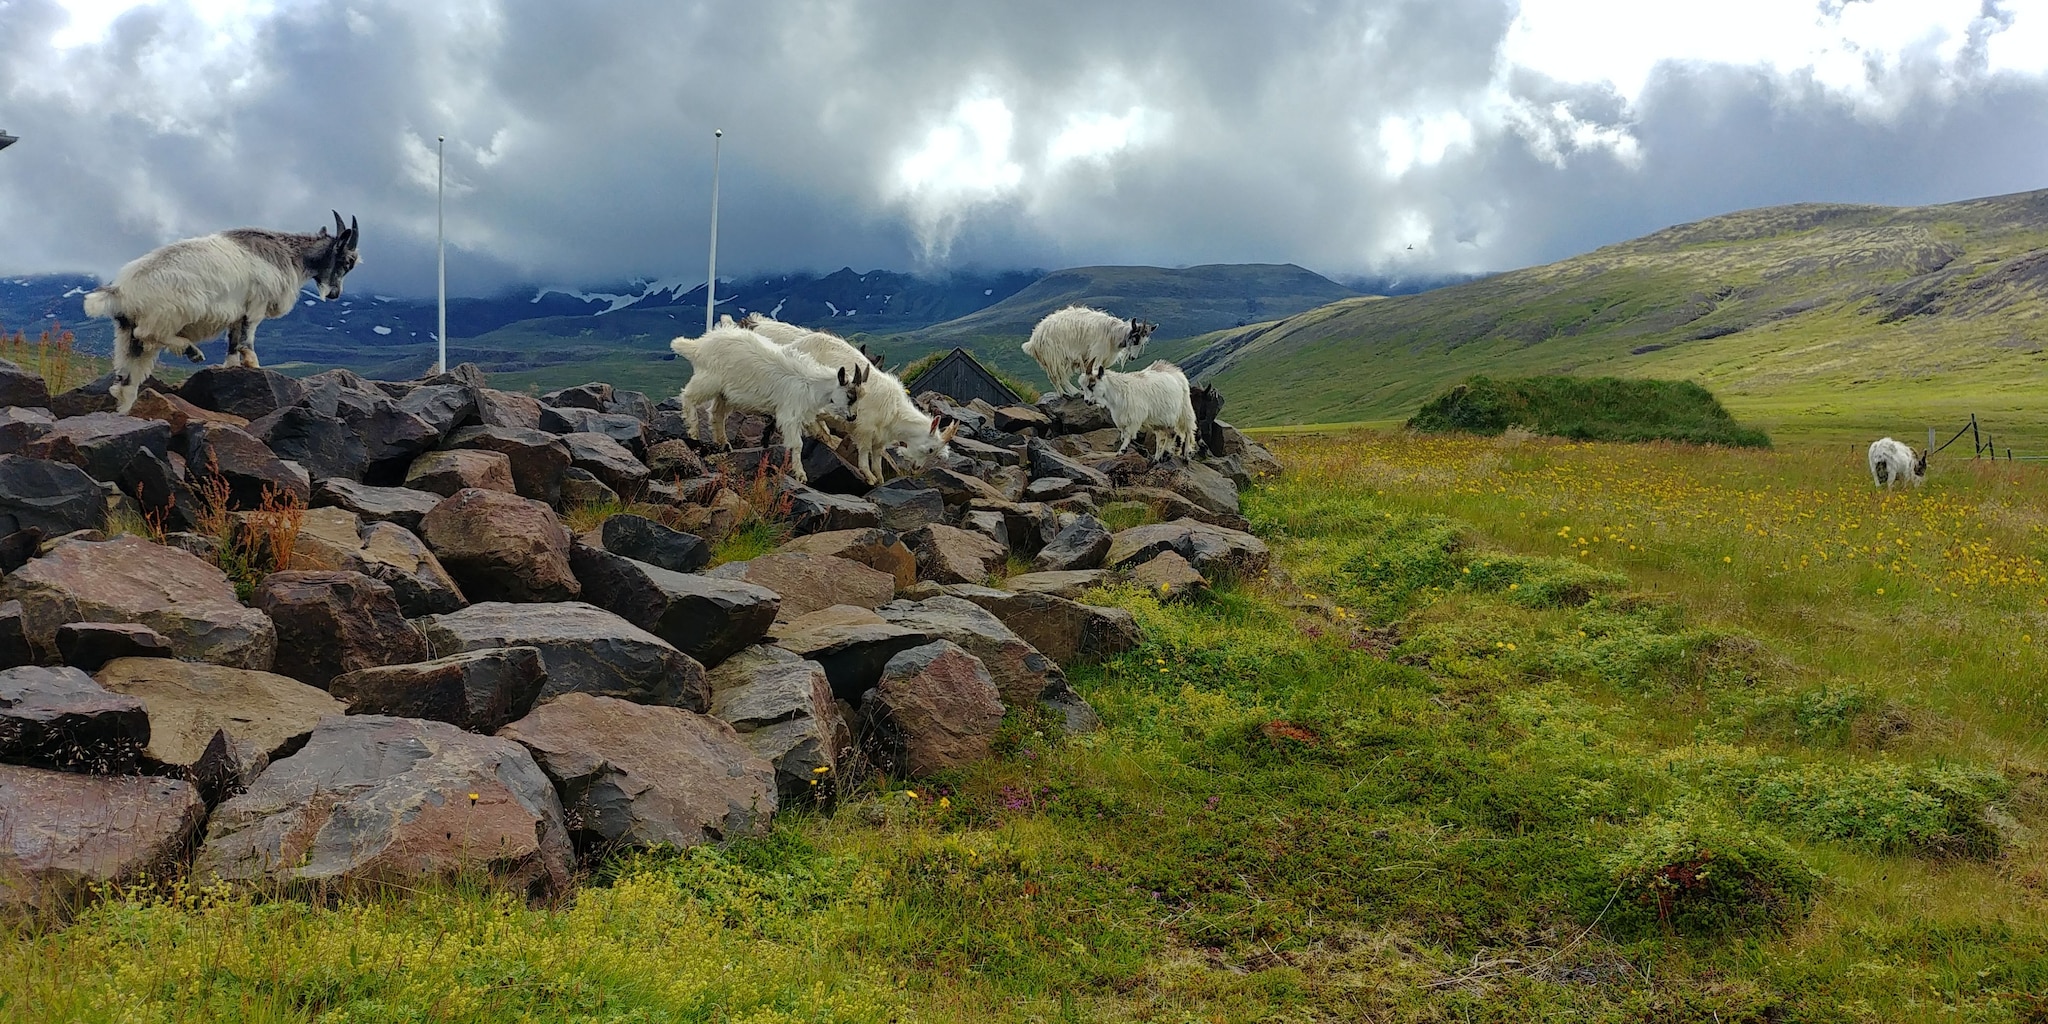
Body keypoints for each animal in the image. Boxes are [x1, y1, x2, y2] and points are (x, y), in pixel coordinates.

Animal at [83, 212, 360, 414]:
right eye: (347, 261)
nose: (335, 294)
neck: (290, 256)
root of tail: (121, 291)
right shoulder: (256, 304)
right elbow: (247, 339)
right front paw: (254, 365)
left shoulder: (237, 313)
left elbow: (233, 342)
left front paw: (232, 366)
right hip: (175, 311)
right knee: (147, 334)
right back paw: (192, 351)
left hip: (126, 335)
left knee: (127, 375)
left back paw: (124, 407)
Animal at [670, 325, 868, 483]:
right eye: (850, 395)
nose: (853, 417)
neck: (810, 383)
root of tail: (699, 346)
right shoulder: (790, 415)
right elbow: (797, 444)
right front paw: (800, 474)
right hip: (708, 380)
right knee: (688, 396)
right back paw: (693, 432)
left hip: (725, 394)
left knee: (716, 414)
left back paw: (724, 443)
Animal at [1022, 305, 1158, 397]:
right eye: (1135, 339)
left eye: (1143, 342)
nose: (1133, 358)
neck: (1112, 334)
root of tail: (1034, 341)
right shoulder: (1096, 354)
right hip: (1056, 356)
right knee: (1059, 377)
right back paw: (1073, 392)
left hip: (1050, 360)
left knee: (1054, 377)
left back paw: (1063, 393)